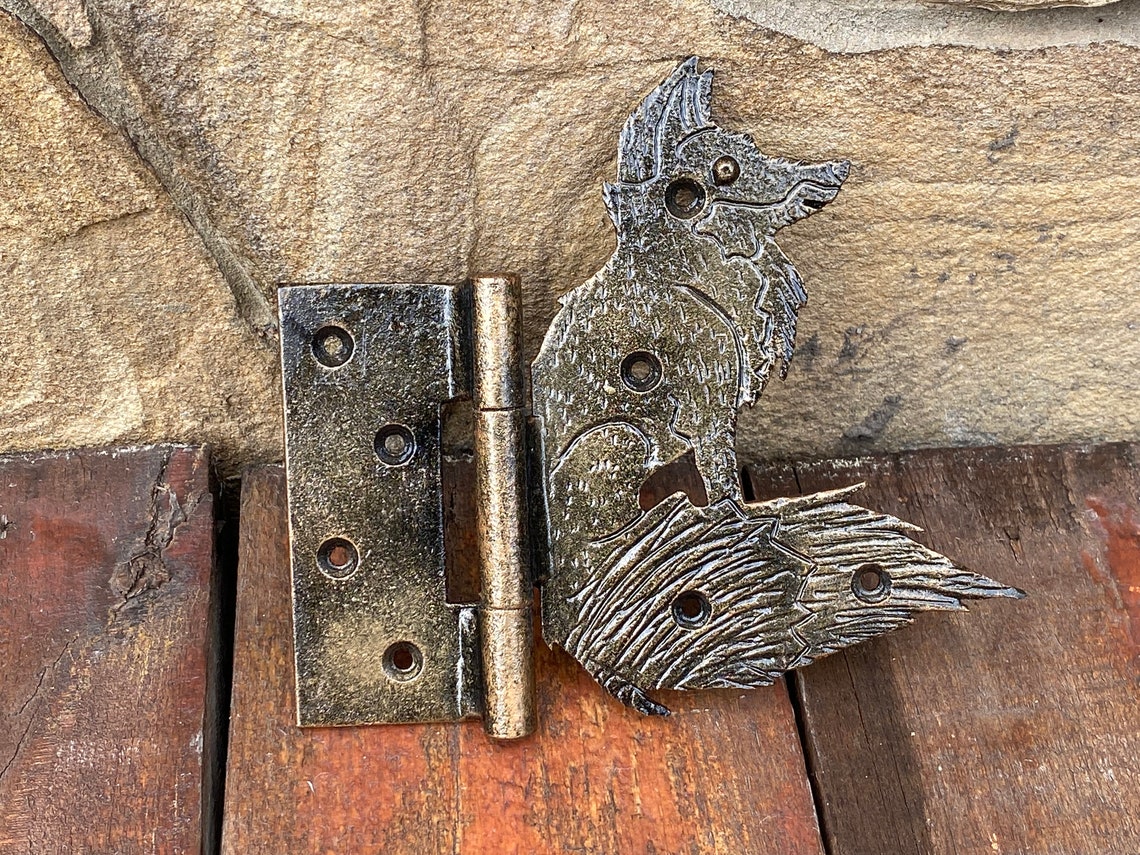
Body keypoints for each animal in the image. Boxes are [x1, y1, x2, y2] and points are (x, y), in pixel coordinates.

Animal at [530, 57, 1021, 715]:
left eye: (752, 150)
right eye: (729, 168)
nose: (834, 171)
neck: (699, 273)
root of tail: (563, 626)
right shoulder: (709, 405)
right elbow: (723, 488)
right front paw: (741, 520)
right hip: (621, 441)